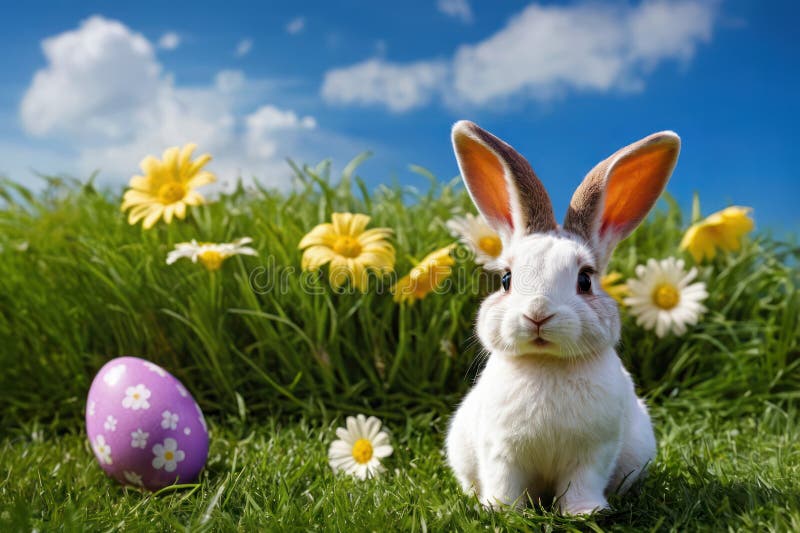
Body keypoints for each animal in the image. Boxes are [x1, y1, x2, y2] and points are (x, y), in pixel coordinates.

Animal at [445, 121, 680, 515]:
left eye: (584, 280)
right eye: (506, 279)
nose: (538, 313)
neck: (547, 364)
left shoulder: (592, 454)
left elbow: (581, 484)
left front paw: (586, 513)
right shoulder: (501, 453)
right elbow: (505, 483)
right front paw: (501, 510)